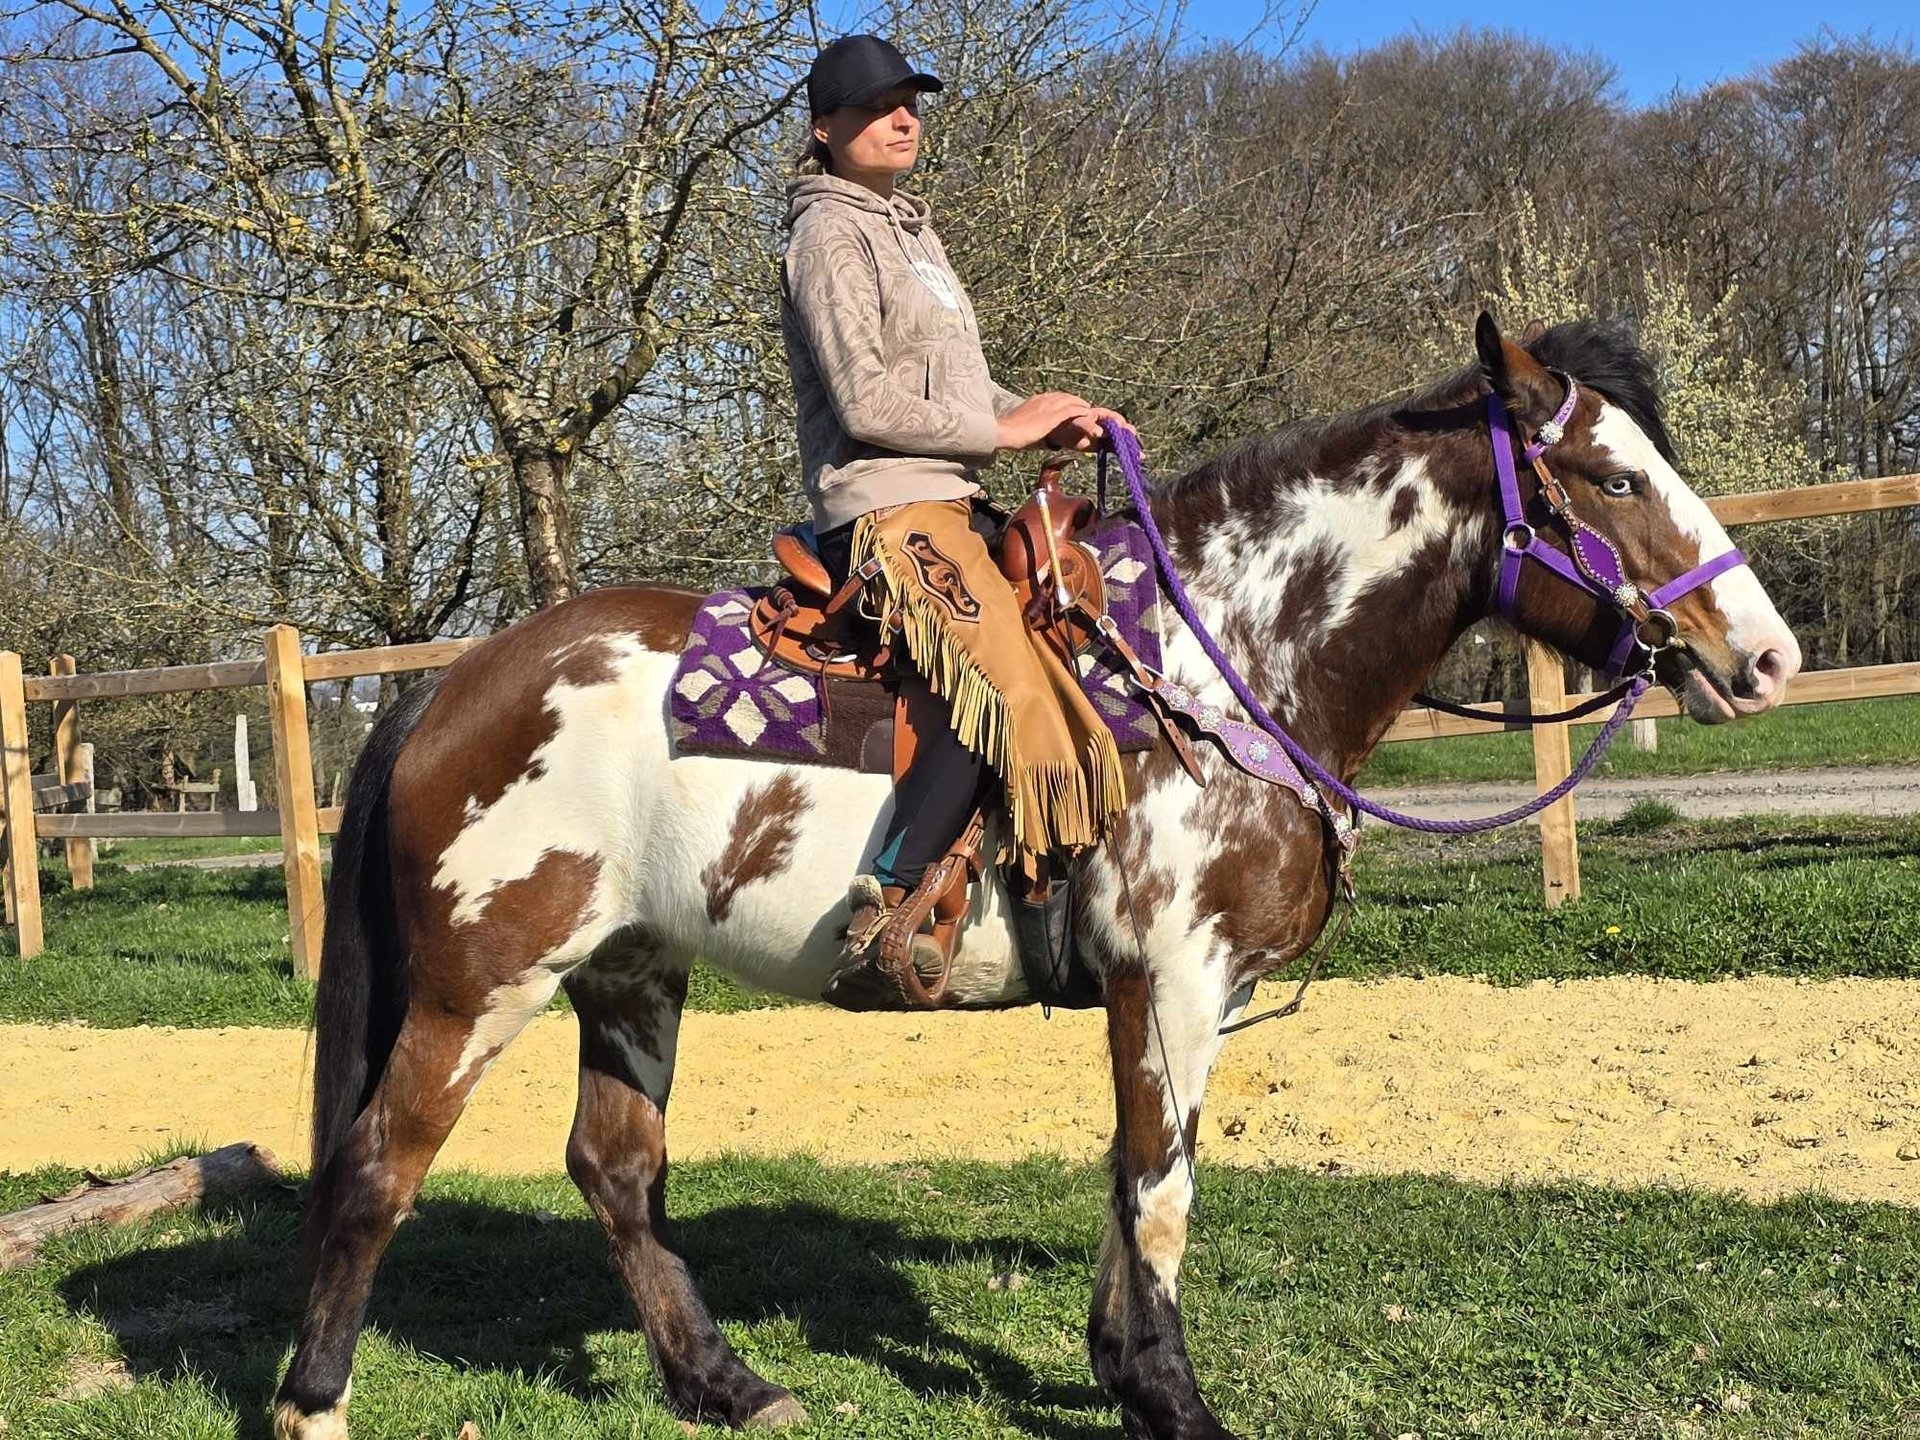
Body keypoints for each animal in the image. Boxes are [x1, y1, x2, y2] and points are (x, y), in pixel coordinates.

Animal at [272, 315, 1801, 1440]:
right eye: (1614, 479)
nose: (1769, 657)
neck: (1220, 661)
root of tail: (454, 683)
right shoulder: (1172, 972)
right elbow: (1162, 1184)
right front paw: (1173, 1399)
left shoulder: (1168, 991)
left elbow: (1135, 1174)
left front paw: (1128, 1373)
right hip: (483, 983)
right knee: (377, 1165)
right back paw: (314, 1404)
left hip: (629, 971)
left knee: (615, 1170)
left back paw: (726, 1383)